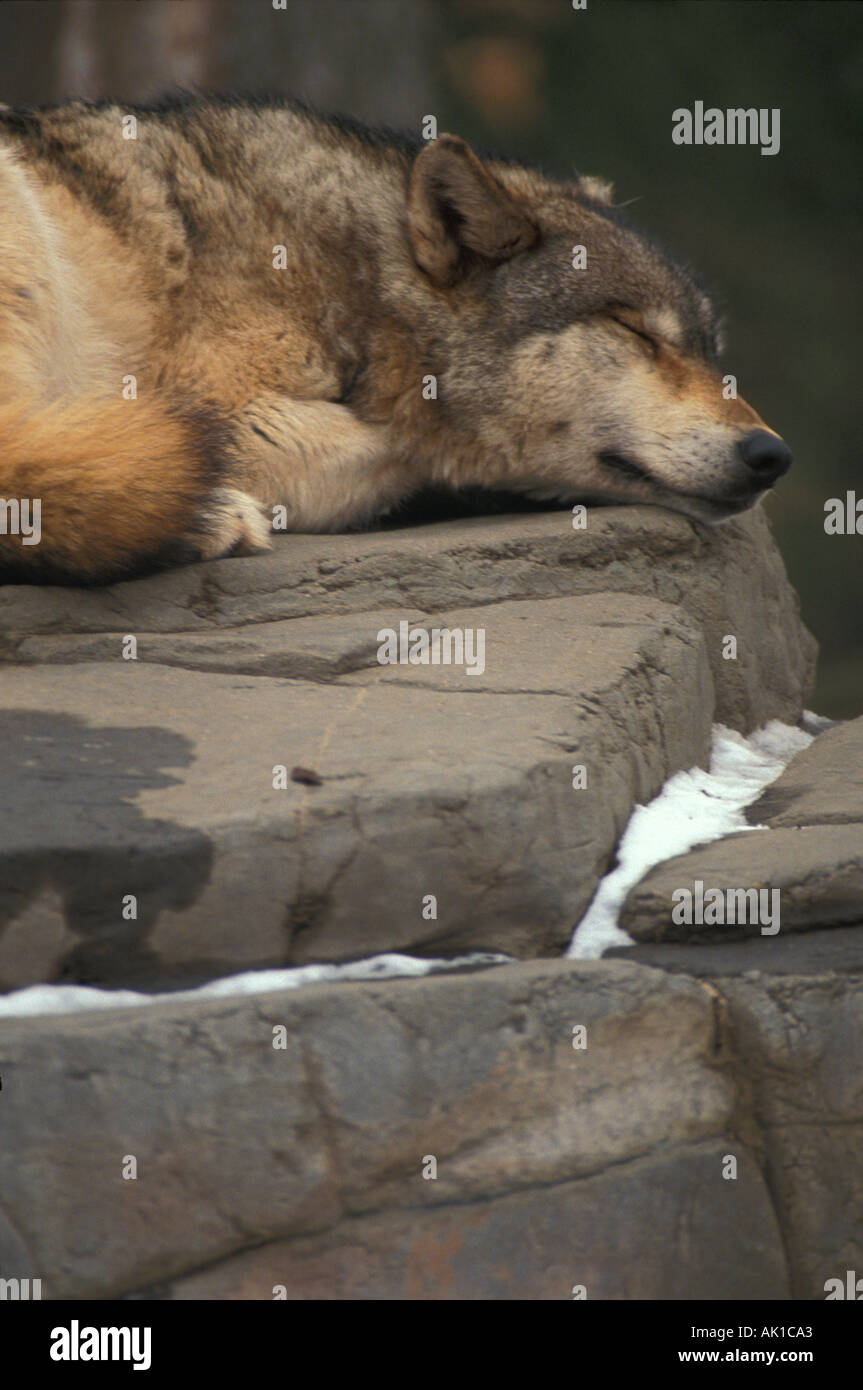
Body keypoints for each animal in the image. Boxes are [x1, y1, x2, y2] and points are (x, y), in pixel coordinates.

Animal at [0, 94, 792, 583]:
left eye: (709, 350)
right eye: (635, 332)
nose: (771, 456)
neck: (353, 282)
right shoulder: (220, 402)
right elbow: (404, 445)